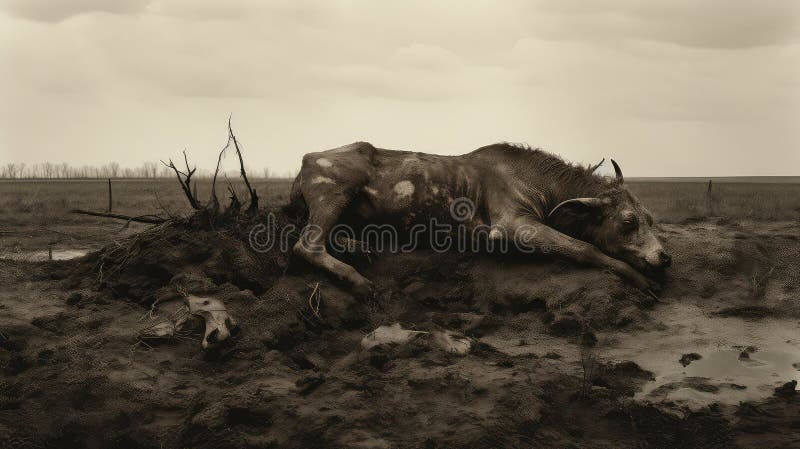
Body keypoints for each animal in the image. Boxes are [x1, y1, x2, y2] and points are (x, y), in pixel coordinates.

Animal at [287, 142, 671, 298]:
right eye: (627, 222)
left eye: (650, 218)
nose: (664, 257)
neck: (540, 183)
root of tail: (306, 161)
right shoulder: (515, 226)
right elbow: (584, 248)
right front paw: (639, 280)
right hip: (335, 193)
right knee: (306, 245)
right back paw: (357, 280)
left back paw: (357, 247)